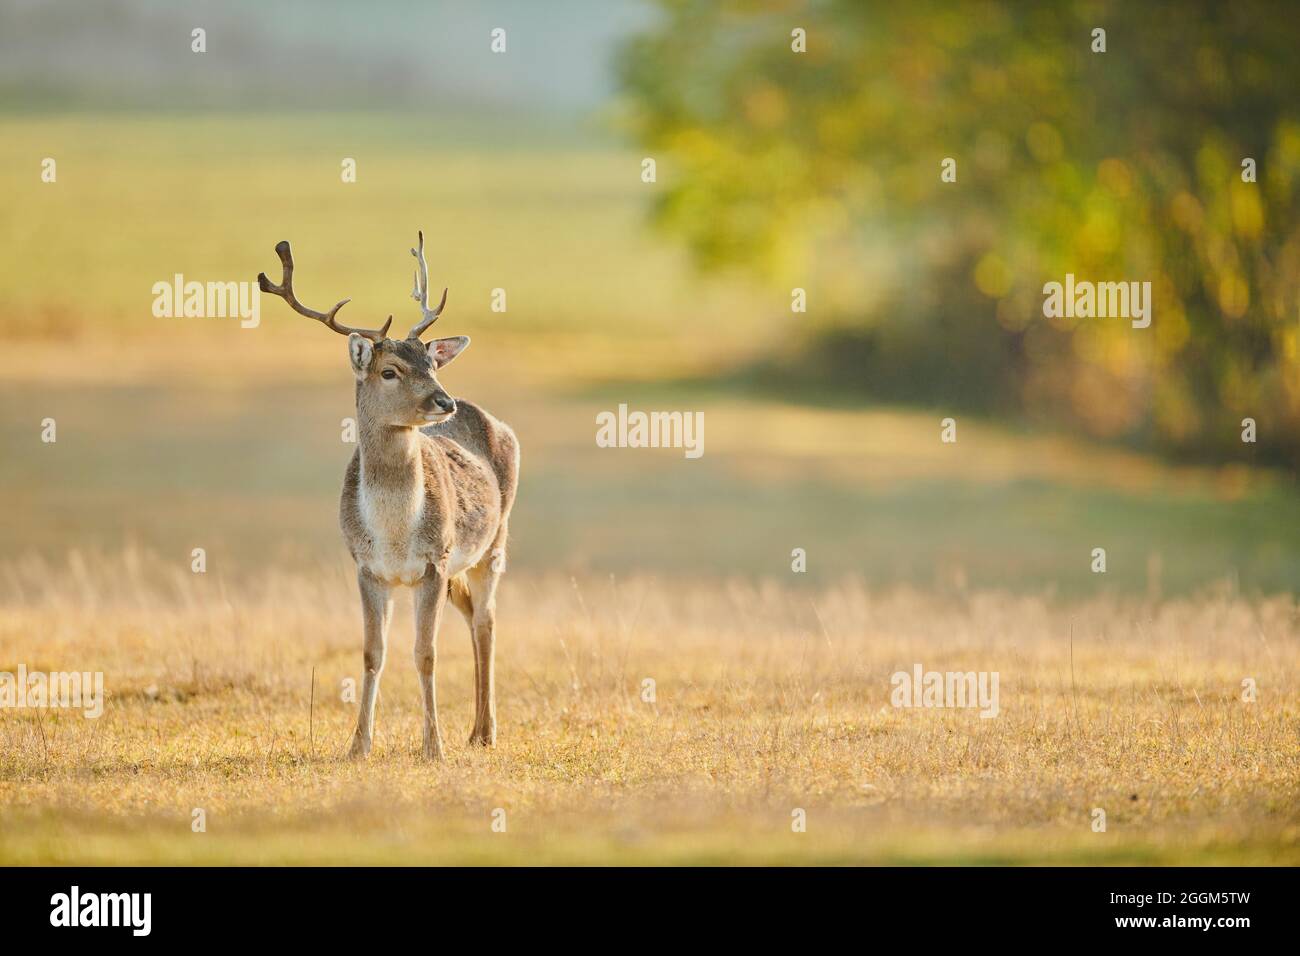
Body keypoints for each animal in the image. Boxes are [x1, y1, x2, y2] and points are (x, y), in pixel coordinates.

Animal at [257, 232, 519, 761]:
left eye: (431, 362)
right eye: (390, 371)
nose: (444, 401)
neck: (396, 533)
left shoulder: (434, 561)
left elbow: (426, 654)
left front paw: (433, 747)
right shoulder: (365, 566)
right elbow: (372, 653)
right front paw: (358, 745)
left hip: (494, 540)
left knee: (487, 620)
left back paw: (485, 731)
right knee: (472, 616)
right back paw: (474, 729)